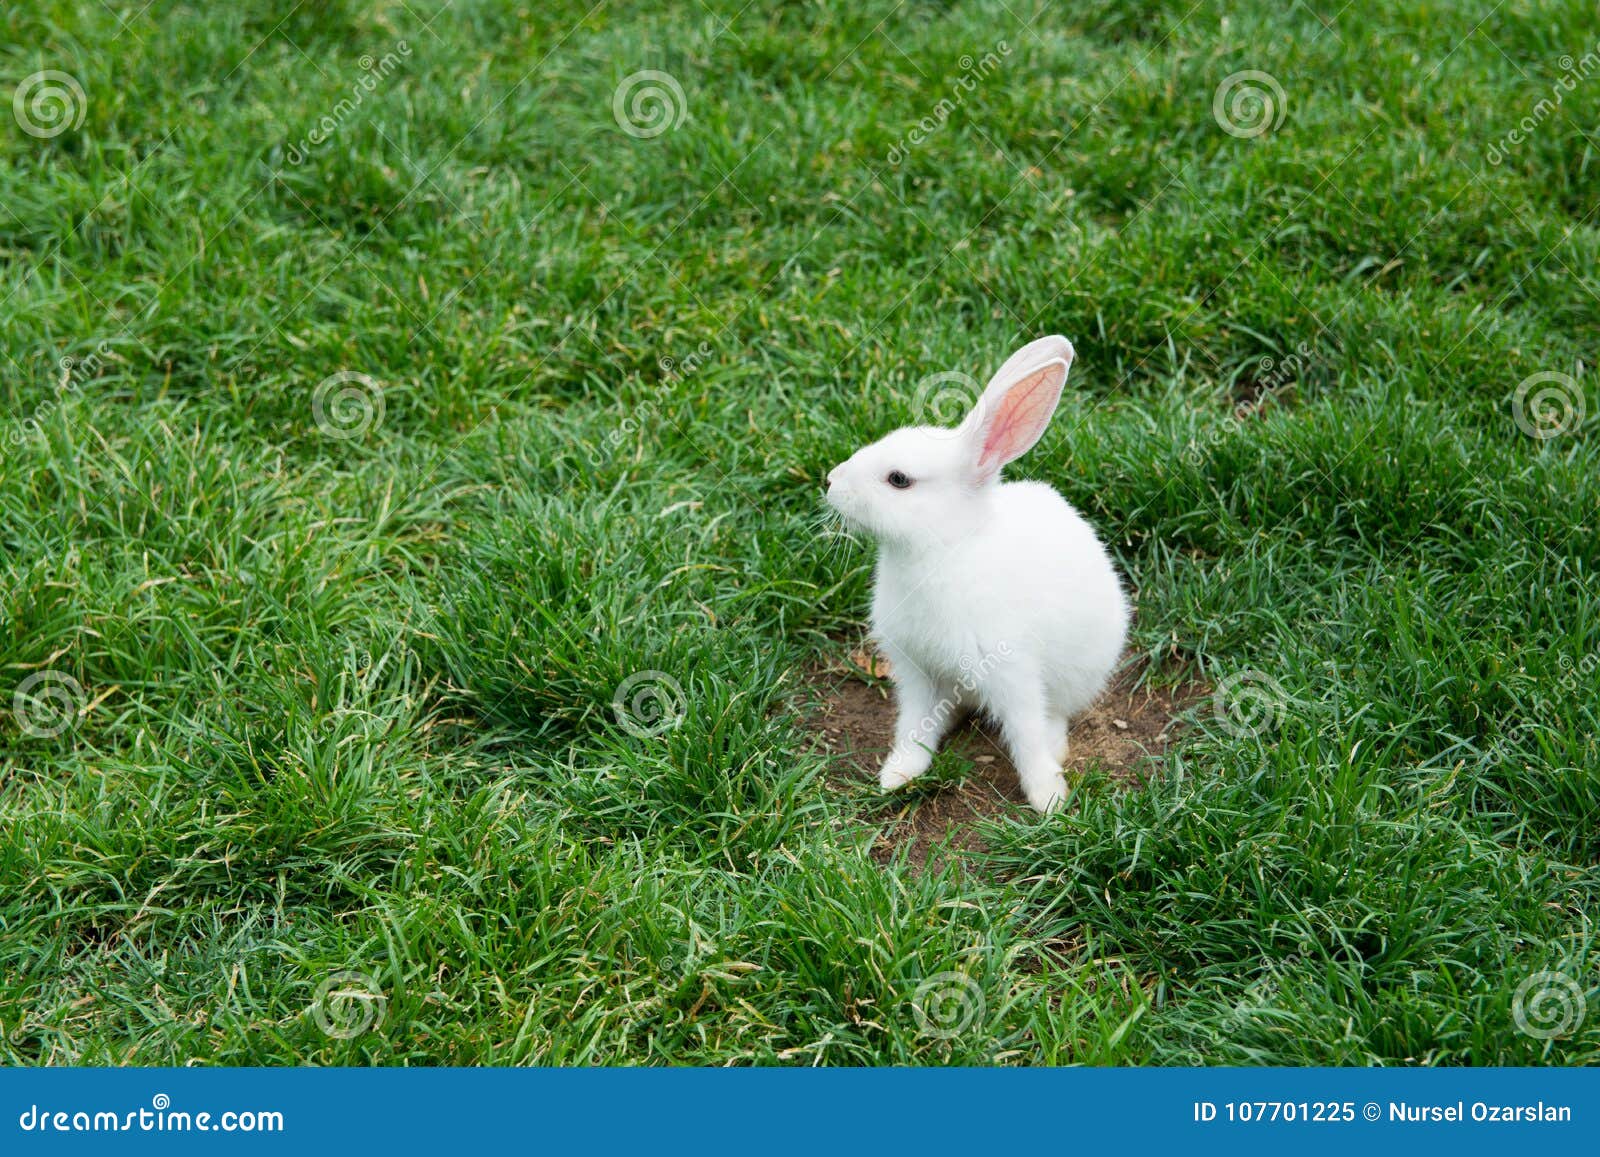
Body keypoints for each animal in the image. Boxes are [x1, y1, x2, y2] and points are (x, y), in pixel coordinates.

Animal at [824, 336, 1129, 813]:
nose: (831, 481)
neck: (942, 549)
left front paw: (1048, 798)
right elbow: (915, 724)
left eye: (898, 479)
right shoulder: (918, 672)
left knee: (1055, 715)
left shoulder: (1011, 672)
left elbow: (1025, 732)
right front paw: (898, 775)